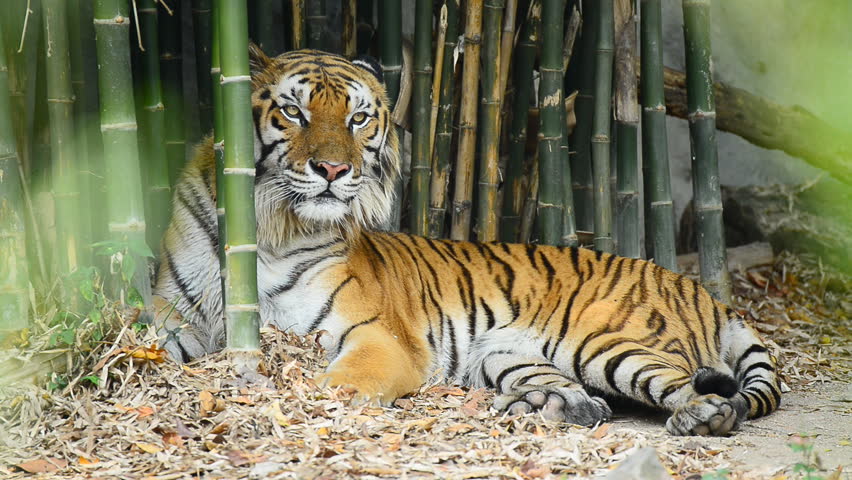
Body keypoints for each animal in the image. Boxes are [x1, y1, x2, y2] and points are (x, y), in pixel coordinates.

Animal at [152, 46, 782, 436]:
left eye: (358, 119)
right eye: (292, 111)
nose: (333, 170)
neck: (267, 230)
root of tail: (695, 286)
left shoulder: (379, 339)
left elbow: (336, 384)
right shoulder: (173, 326)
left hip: (610, 342)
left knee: (697, 391)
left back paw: (700, 418)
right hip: (512, 356)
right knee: (587, 400)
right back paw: (556, 406)